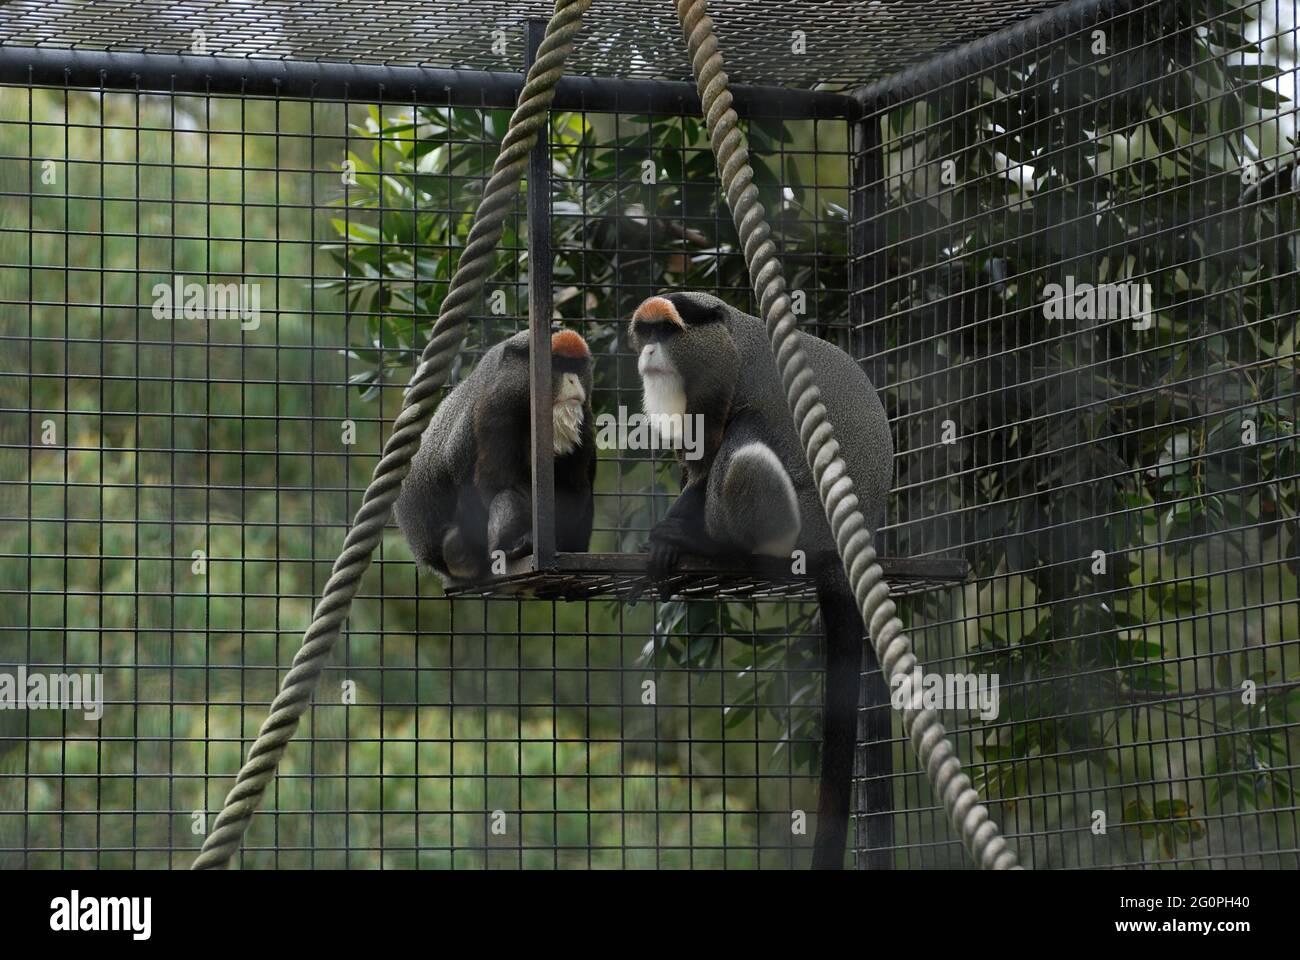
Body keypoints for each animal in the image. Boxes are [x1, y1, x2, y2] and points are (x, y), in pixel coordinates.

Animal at [394, 328, 596, 585]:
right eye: (558, 364)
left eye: (577, 367)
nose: (573, 381)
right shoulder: (497, 405)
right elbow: (492, 481)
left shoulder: (585, 419)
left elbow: (575, 489)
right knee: (504, 497)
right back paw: (512, 548)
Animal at [630, 292, 894, 869]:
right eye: (645, 331)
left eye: (668, 330)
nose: (648, 353)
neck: (735, 337)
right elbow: (699, 466)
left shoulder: (729, 384)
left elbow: (719, 455)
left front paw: (677, 534)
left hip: (804, 522)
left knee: (748, 442)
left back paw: (715, 544)